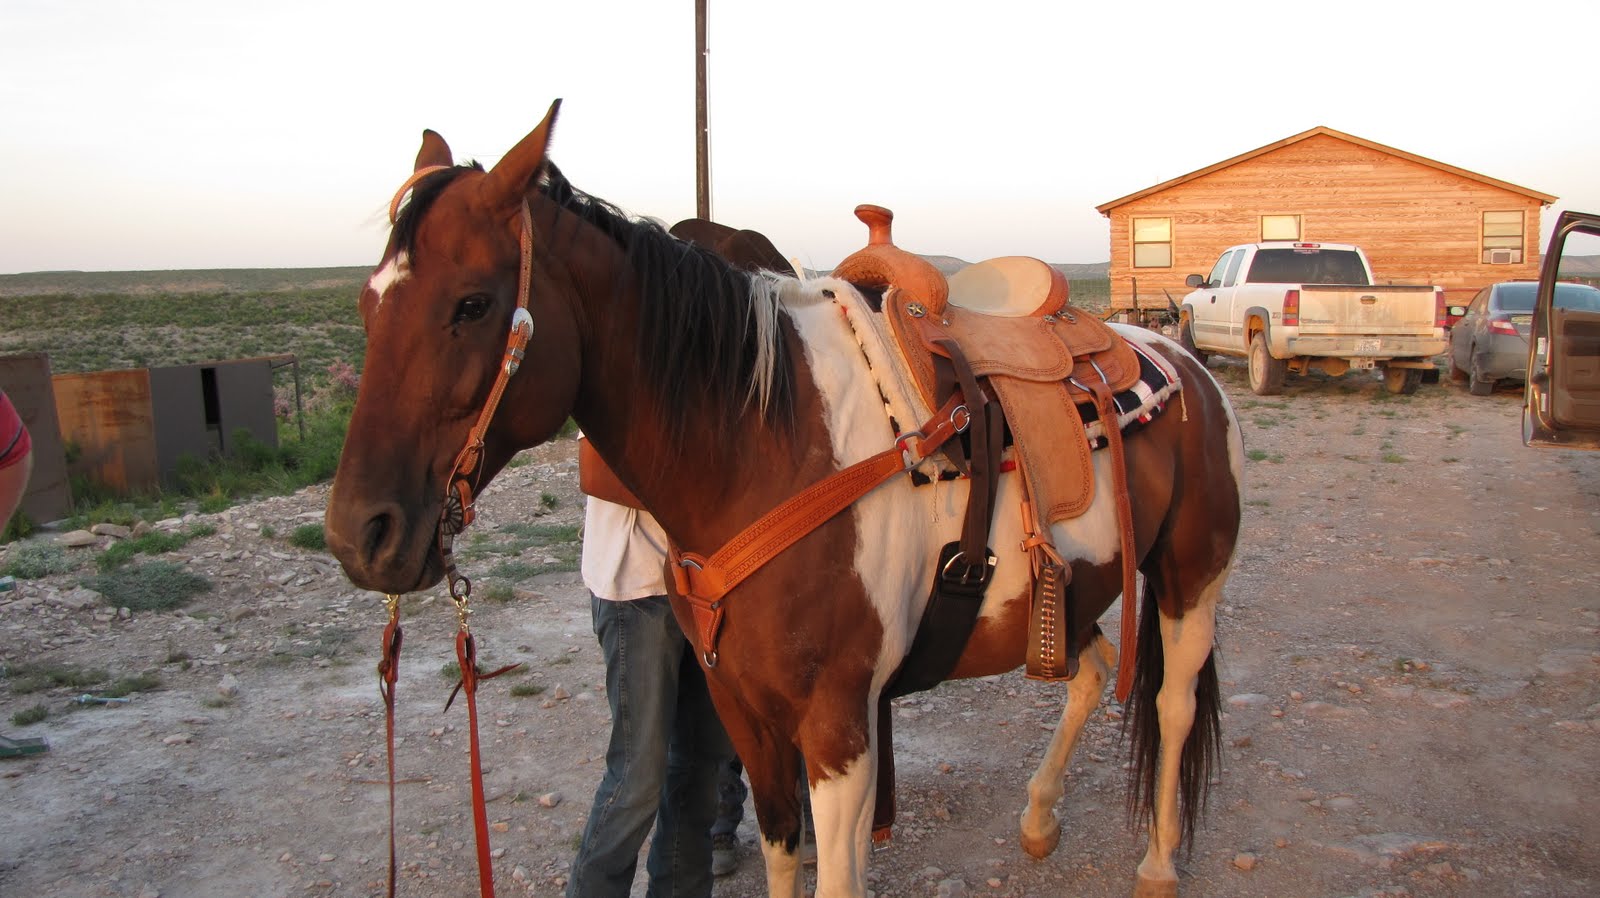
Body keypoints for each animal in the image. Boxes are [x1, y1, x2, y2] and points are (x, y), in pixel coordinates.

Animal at [325, 101, 1243, 898]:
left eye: (472, 303)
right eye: (368, 302)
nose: (359, 534)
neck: (766, 450)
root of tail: (1181, 359)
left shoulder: (838, 727)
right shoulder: (748, 714)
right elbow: (778, 856)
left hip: (1189, 582)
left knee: (1171, 704)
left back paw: (1158, 865)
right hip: (1069, 594)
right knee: (1091, 670)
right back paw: (1041, 817)